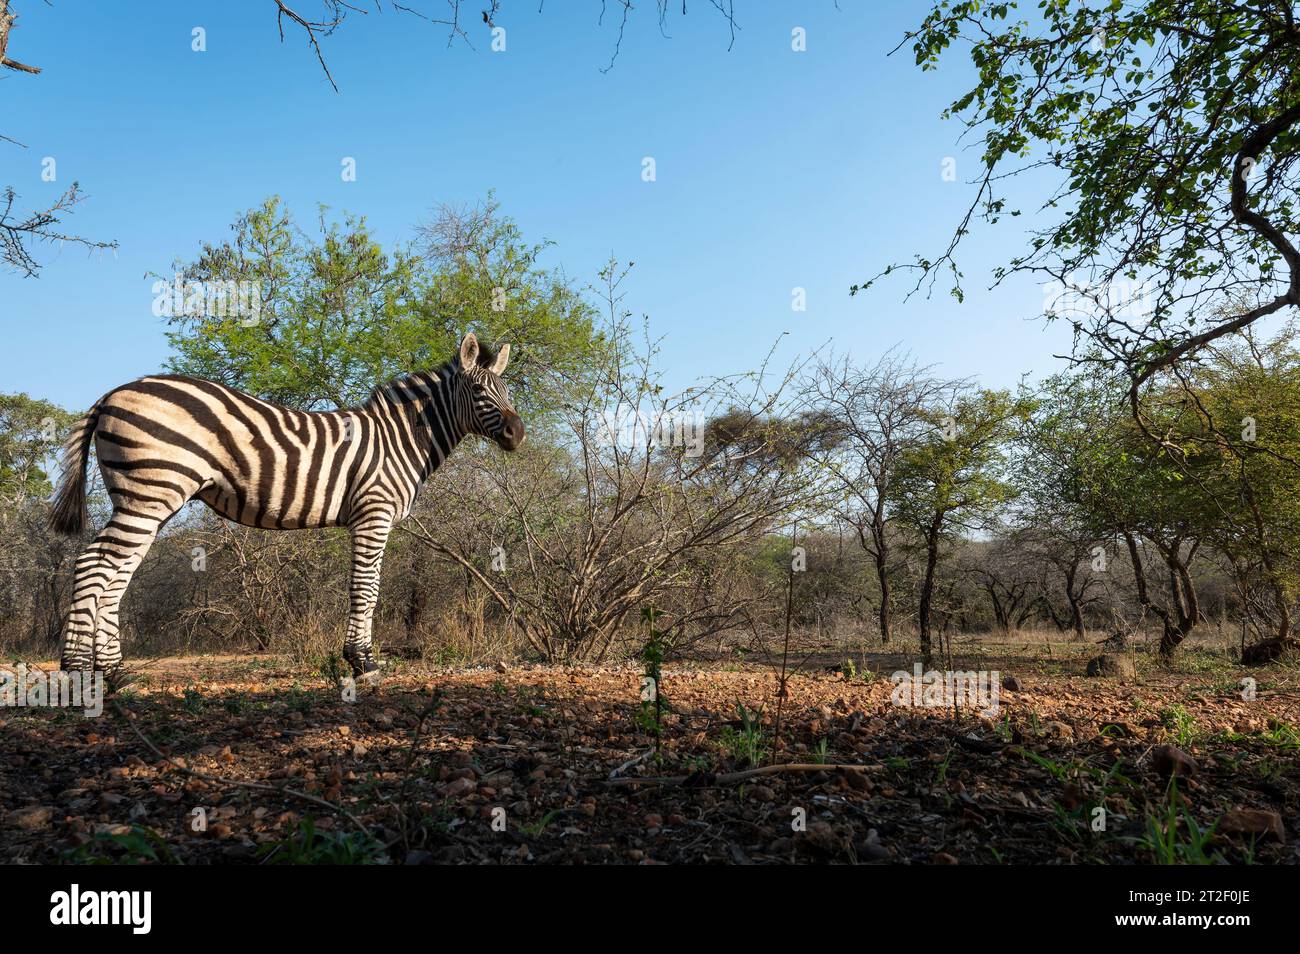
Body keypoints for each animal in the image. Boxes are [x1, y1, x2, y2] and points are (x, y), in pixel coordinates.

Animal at [49, 332, 523, 679]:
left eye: (508, 390)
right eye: (478, 390)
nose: (517, 433)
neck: (399, 439)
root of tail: (112, 394)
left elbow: (370, 588)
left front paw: (361, 658)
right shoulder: (373, 513)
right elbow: (366, 589)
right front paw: (362, 661)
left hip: (147, 500)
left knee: (113, 575)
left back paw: (114, 673)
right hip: (149, 494)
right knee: (92, 564)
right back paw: (78, 670)